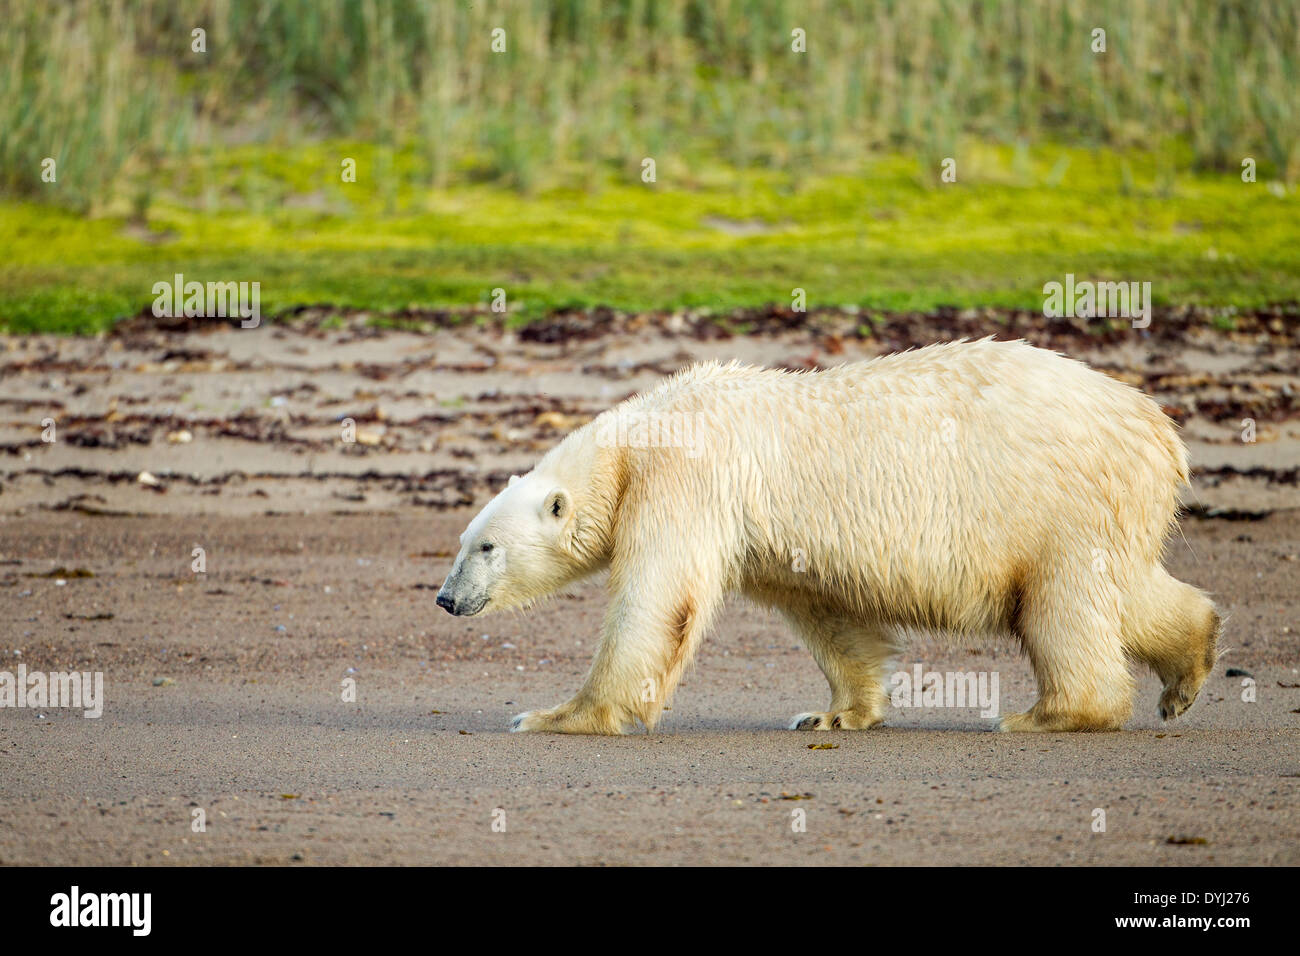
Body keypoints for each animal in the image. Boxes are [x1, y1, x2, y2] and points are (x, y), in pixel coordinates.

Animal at [435, 338, 1221, 735]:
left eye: (485, 547)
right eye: (464, 541)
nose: (445, 598)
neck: (637, 443)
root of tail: (1157, 429)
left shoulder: (687, 475)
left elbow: (658, 599)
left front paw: (555, 715)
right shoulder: (766, 534)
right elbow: (825, 612)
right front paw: (835, 713)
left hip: (1052, 498)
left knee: (1063, 603)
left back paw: (1049, 715)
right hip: (1103, 507)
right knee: (1125, 590)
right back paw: (1187, 669)